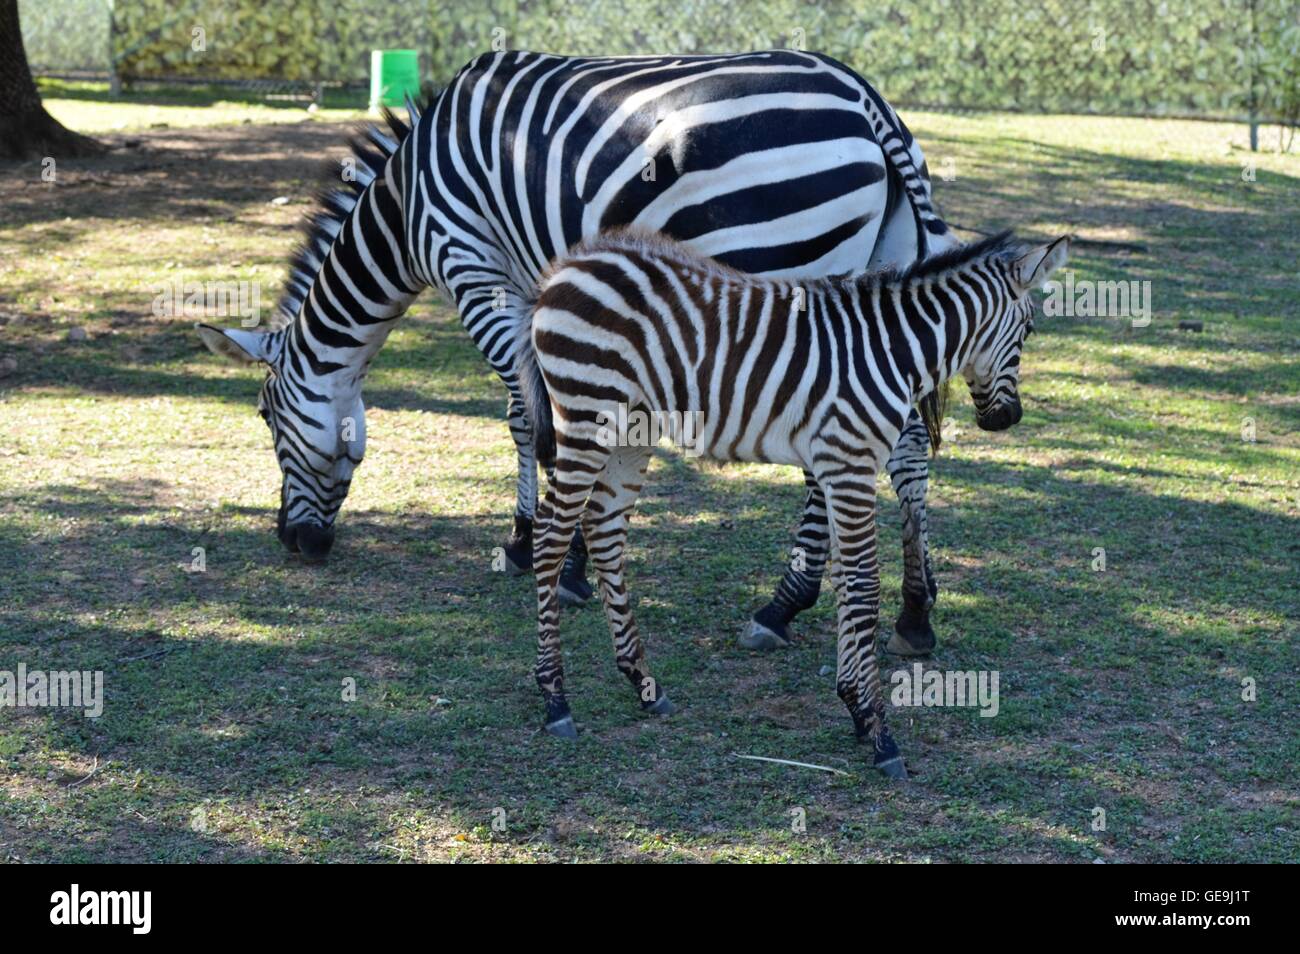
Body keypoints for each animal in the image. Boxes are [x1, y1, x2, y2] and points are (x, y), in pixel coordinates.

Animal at [195, 49, 956, 649]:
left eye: (265, 419)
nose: (293, 543)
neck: (407, 206)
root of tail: (866, 99)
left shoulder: (474, 269)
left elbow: (535, 424)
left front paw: (547, 559)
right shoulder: (542, 289)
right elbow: (551, 421)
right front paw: (555, 551)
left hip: (788, 268)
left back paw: (782, 605)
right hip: (879, 271)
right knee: (908, 444)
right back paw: (914, 612)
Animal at [518, 228, 1069, 777]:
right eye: (1028, 332)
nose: (1008, 420)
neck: (895, 352)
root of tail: (567, 266)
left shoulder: (838, 468)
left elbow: (846, 584)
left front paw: (854, 706)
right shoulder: (849, 465)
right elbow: (863, 588)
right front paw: (879, 732)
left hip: (633, 429)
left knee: (605, 532)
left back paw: (643, 684)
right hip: (588, 416)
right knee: (550, 540)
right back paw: (555, 700)